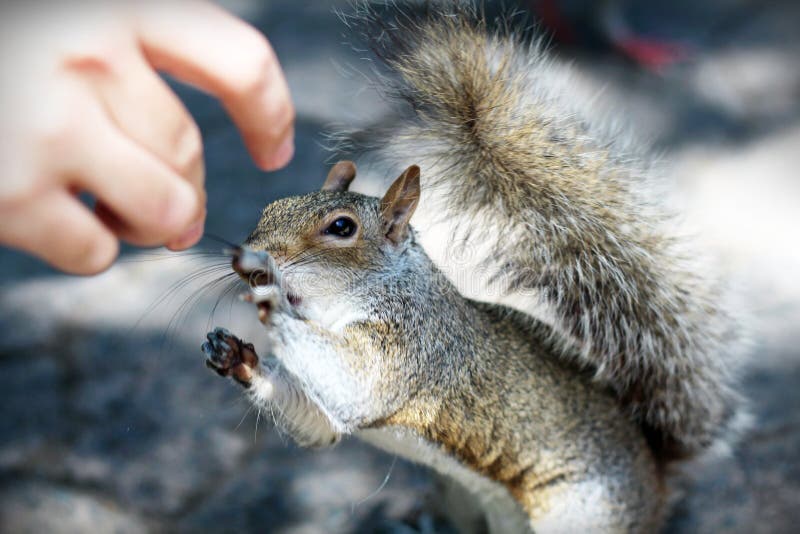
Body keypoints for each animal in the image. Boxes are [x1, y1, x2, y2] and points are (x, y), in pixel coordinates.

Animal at [201, 4, 746, 532]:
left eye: (341, 227)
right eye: (272, 205)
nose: (248, 259)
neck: (332, 306)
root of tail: (656, 481)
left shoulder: (416, 342)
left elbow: (359, 383)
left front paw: (272, 306)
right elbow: (319, 423)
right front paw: (234, 355)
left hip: (586, 515)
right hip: (459, 494)